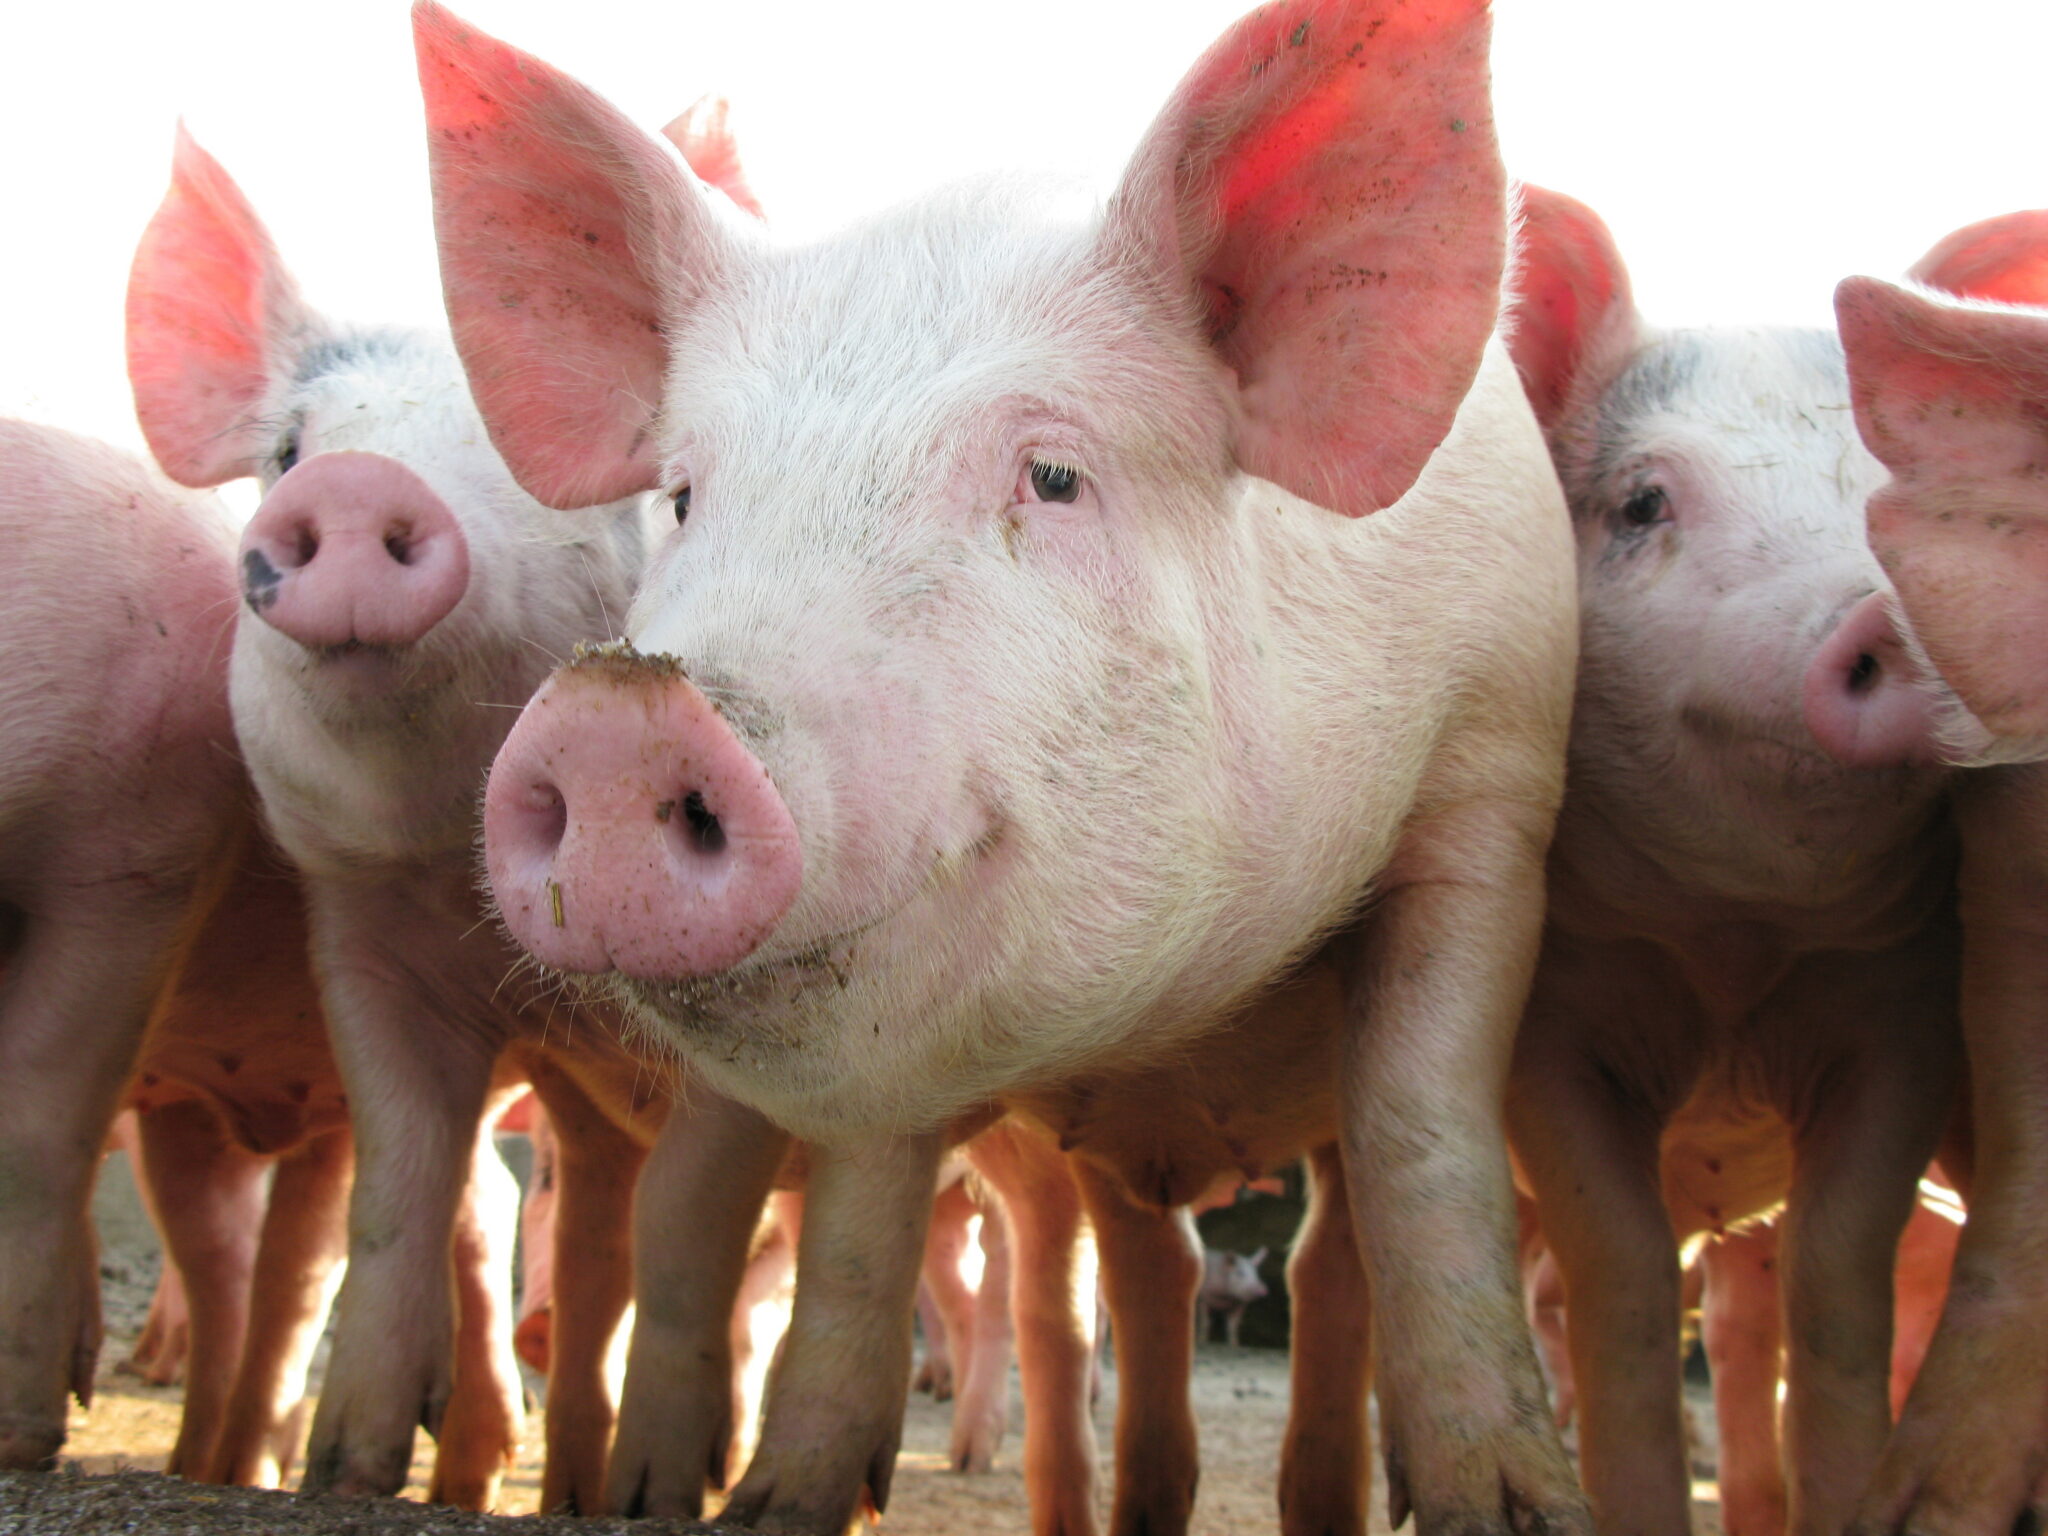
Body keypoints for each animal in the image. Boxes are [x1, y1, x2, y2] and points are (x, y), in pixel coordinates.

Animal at [419, 2, 1590, 1533]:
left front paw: (1514, 1508)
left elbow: (1420, 1134)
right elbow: (862, 1219)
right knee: (1093, 1280)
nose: (624, 708)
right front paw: (779, 1504)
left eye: (1051, 477)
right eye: (683, 495)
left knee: (1304, 1261)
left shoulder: (1495, 786)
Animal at [1504, 185, 1962, 1536]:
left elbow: (1838, 1277)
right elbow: (1620, 1276)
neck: (1733, 948)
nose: (1884, 615)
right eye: (1643, 501)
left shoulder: (1904, 1012)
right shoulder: (1549, 1023)